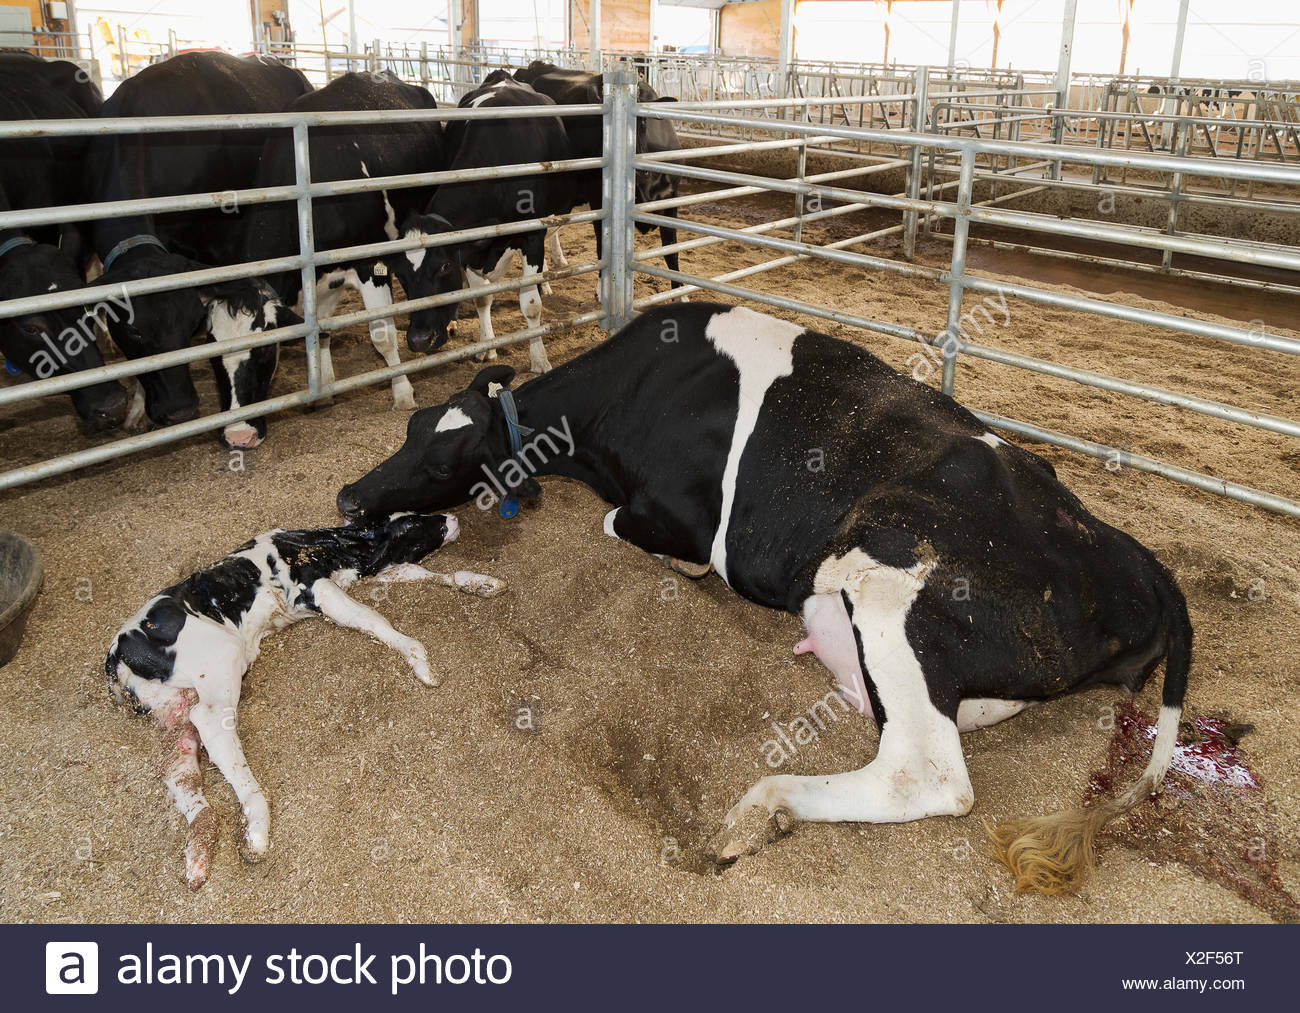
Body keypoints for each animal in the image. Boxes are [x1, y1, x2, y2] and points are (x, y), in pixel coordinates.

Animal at [106, 511, 505, 888]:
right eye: (413, 522)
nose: (452, 517)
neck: (329, 545)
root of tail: (117, 651)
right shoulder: (319, 588)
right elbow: (374, 619)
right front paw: (420, 659)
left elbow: (417, 572)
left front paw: (482, 583)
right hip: (218, 668)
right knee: (215, 729)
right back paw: (257, 829)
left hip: (174, 710)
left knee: (179, 770)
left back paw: (199, 851)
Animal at [204, 71, 446, 448]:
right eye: (213, 357)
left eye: (264, 352)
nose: (238, 436)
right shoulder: (318, 273)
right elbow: (319, 329)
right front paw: (324, 390)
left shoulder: (369, 263)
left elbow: (382, 335)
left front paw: (403, 392)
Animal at [336, 302, 1193, 895]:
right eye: (409, 426)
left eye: (443, 456)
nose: (349, 496)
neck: (633, 394)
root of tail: (1127, 553)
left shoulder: (679, 517)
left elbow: (628, 532)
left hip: (888, 577)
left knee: (927, 774)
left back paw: (762, 807)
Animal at [387, 76, 575, 375]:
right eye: (400, 273)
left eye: (444, 265)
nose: (418, 339)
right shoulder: (471, 250)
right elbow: (481, 299)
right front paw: (487, 347)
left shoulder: (532, 236)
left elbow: (531, 304)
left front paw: (539, 359)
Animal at [512, 61, 684, 292]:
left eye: (642, 122)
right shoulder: (598, 199)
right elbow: (602, 246)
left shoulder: (670, 200)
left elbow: (671, 252)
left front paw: (681, 293)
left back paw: (558, 260)